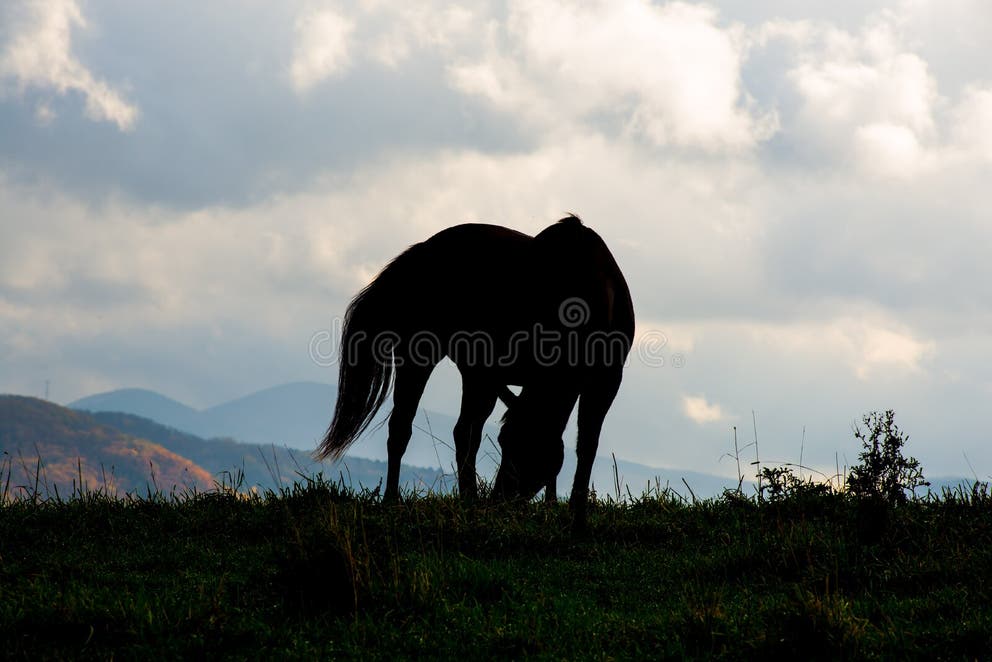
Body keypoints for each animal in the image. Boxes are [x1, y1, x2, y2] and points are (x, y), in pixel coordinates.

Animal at [316, 215, 634, 525]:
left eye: (528, 450)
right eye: (505, 443)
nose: (501, 501)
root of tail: (418, 254)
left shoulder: (604, 383)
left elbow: (586, 444)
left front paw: (568, 510)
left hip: (474, 376)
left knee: (465, 431)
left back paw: (468, 498)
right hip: (421, 358)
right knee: (405, 427)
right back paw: (396, 499)